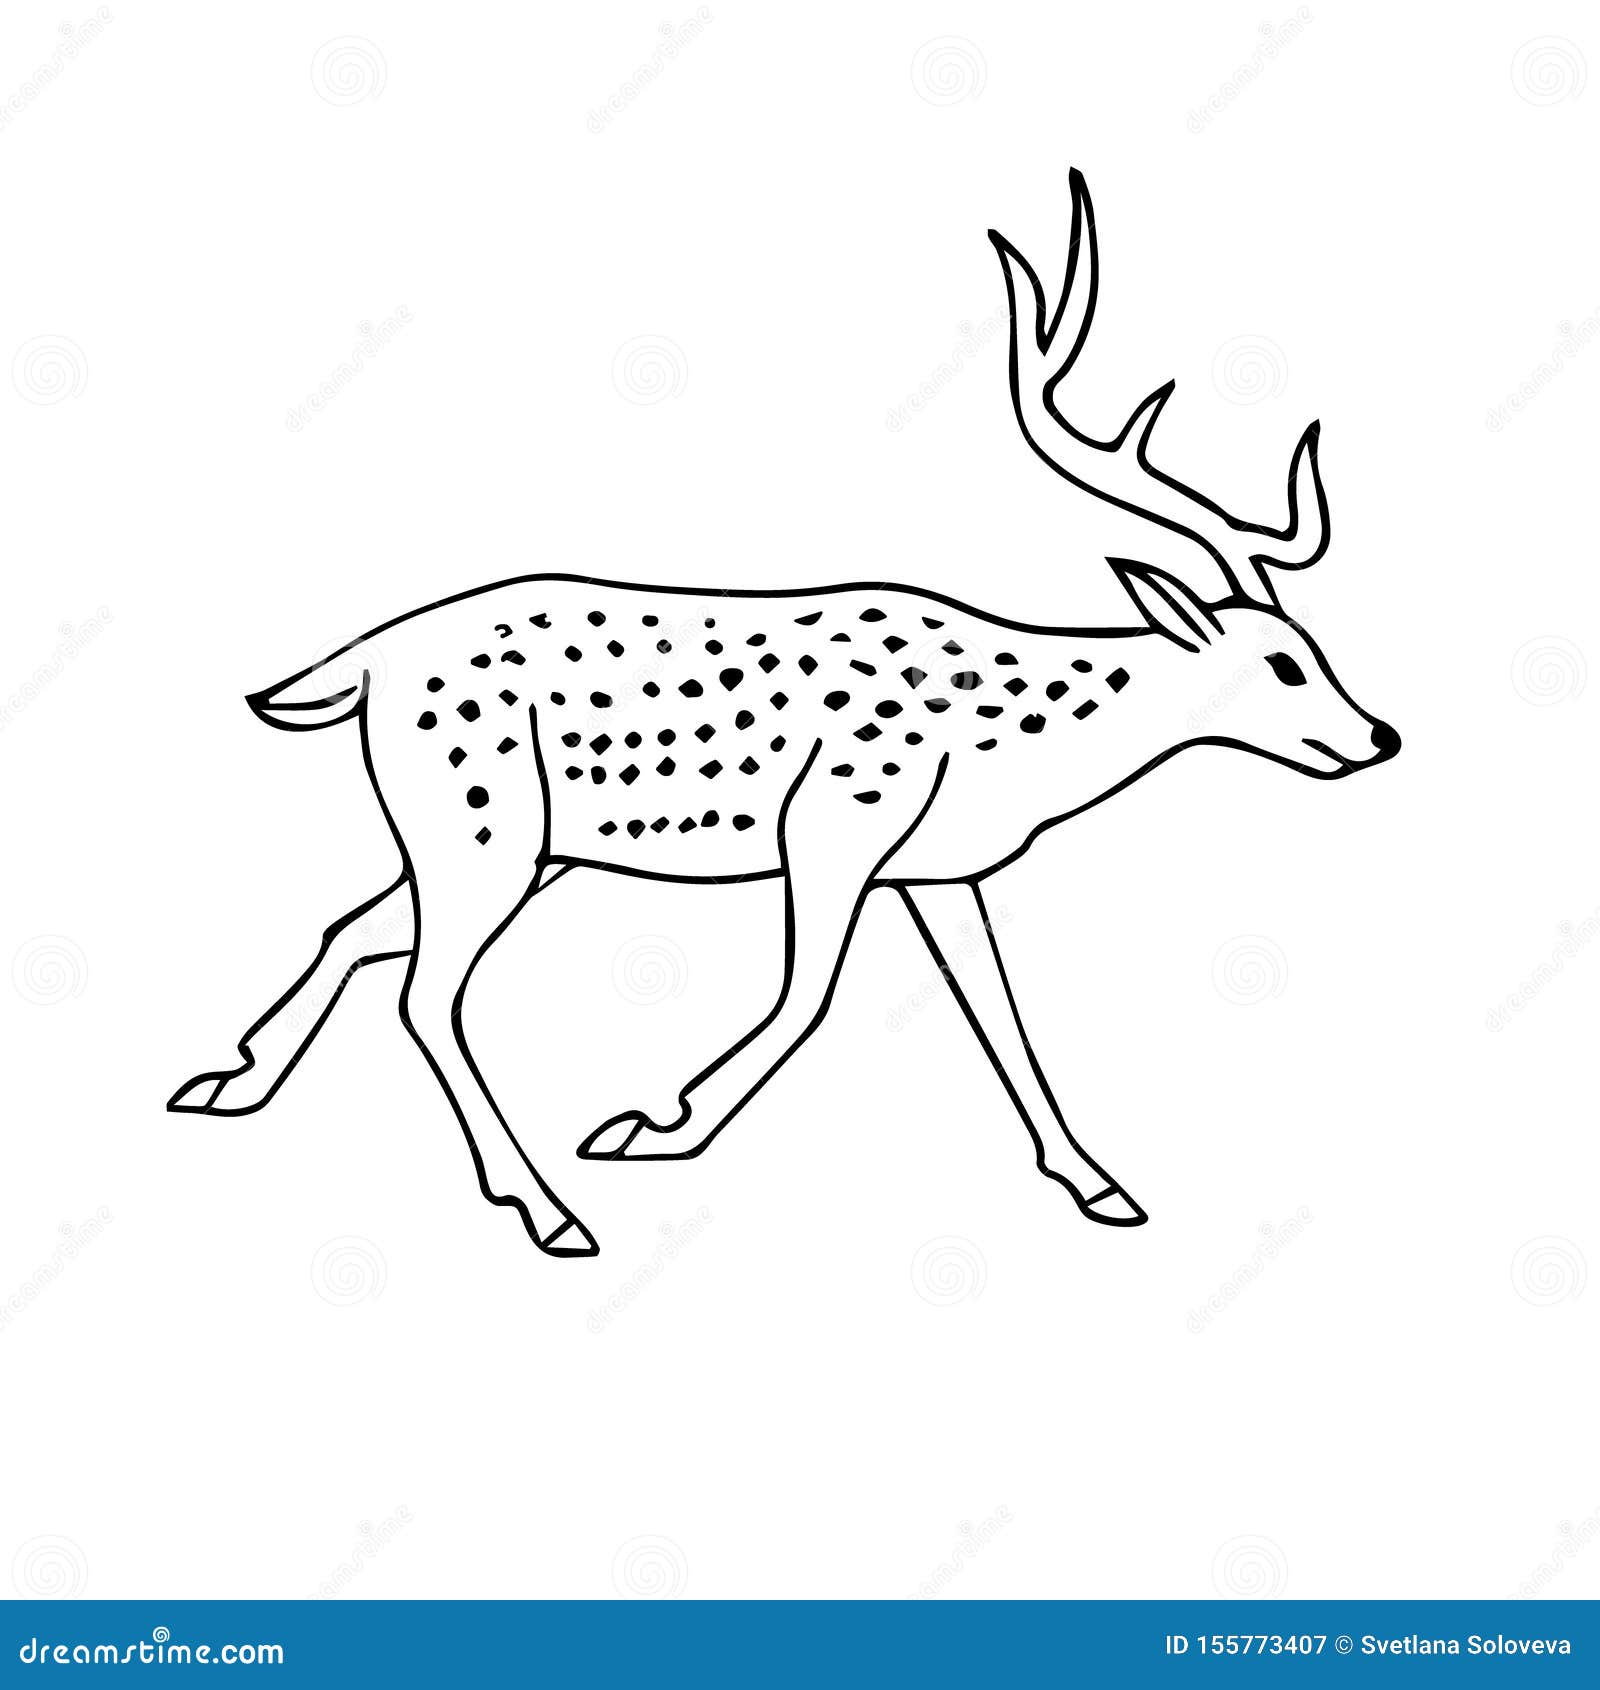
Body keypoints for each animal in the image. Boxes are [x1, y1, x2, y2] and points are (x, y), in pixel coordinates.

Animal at [168, 171, 1399, 1258]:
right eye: (1285, 664)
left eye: (1318, 653)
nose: (1379, 737)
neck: (1009, 742)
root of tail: (364, 663)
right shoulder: (835, 824)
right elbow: (809, 996)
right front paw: (650, 1126)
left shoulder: (938, 871)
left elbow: (1001, 1014)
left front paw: (1103, 1185)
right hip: (483, 820)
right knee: (428, 990)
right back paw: (551, 1210)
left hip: (511, 839)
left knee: (361, 929)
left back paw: (227, 1082)